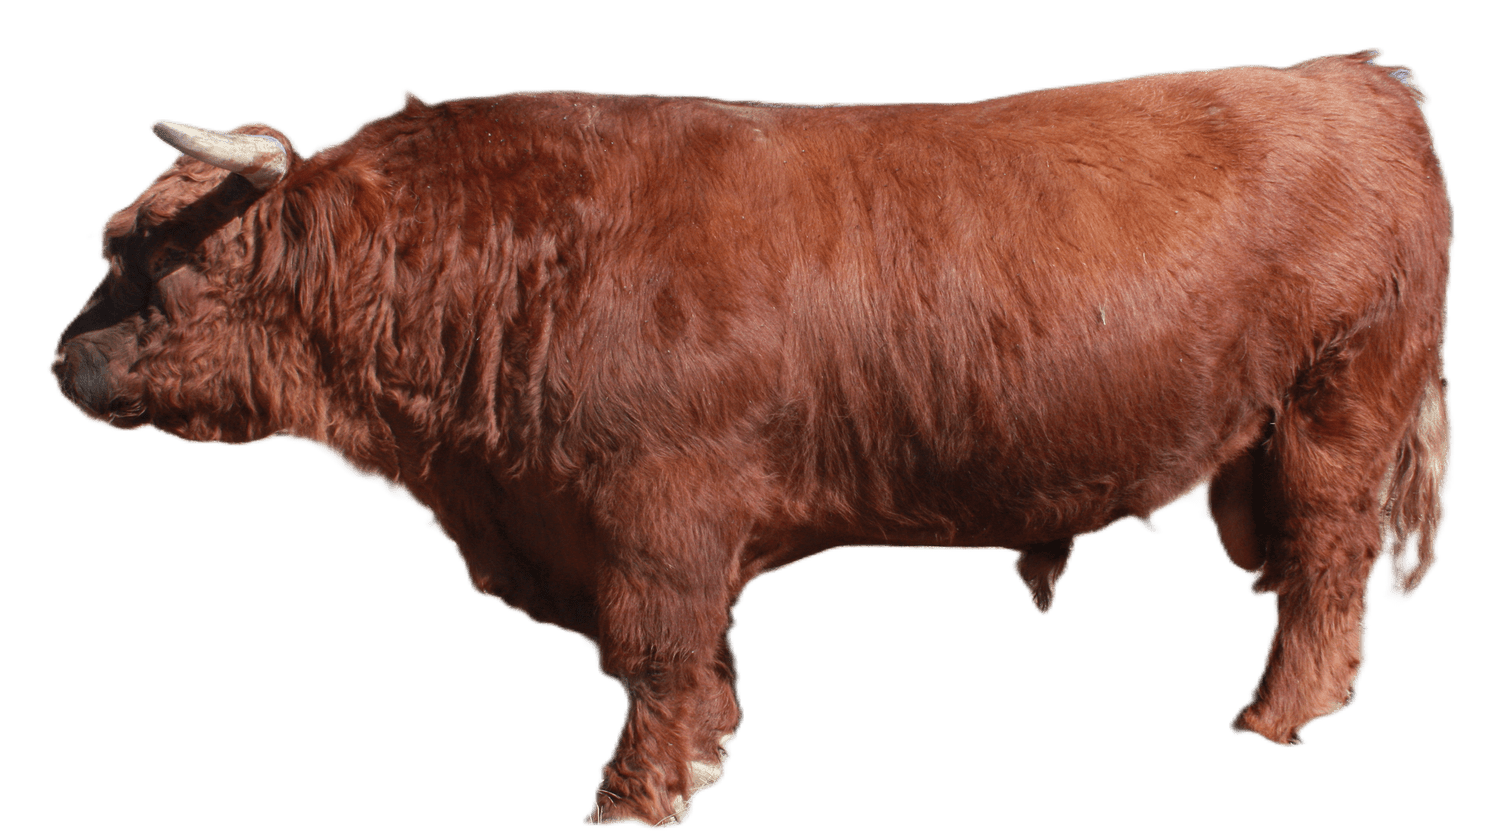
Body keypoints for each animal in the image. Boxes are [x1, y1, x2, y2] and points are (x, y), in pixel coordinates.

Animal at [51, 48, 1452, 828]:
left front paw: (635, 799)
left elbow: (661, 669)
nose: (61, 362)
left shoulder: (655, 521)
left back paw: (1272, 724)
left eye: (148, 257)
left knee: (1326, 576)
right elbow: (702, 670)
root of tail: (1354, 73)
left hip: (1337, 410)